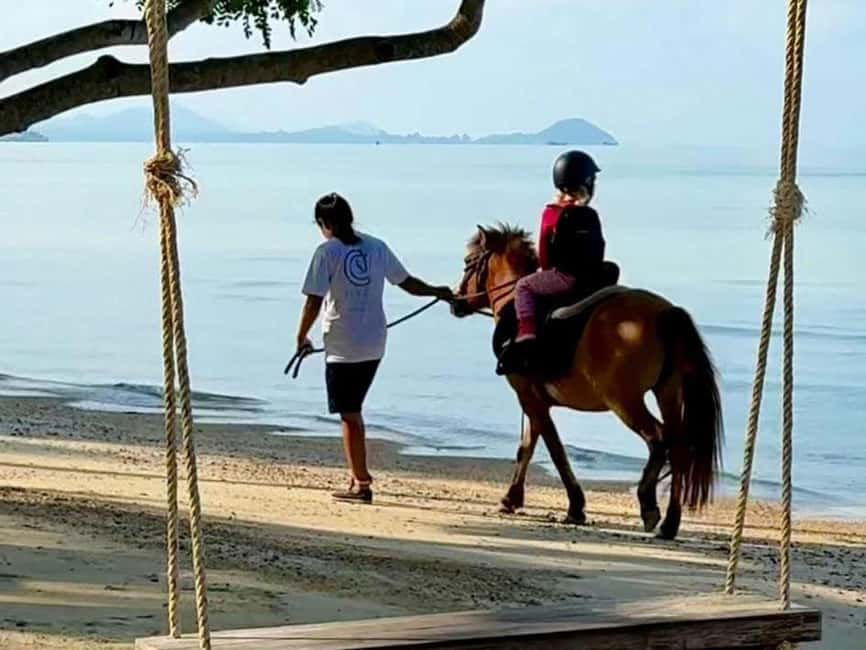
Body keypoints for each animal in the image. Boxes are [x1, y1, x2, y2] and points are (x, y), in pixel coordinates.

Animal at [451, 224, 723, 540]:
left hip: (623, 400)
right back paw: (670, 522)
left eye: (468, 262)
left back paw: (647, 502)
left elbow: (554, 448)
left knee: (658, 439)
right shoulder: (535, 399)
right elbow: (528, 445)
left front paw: (575, 506)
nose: (455, 301)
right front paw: (512, 497)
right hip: (667, 392)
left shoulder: (528, 396)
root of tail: (666, 313)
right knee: (678, 445)